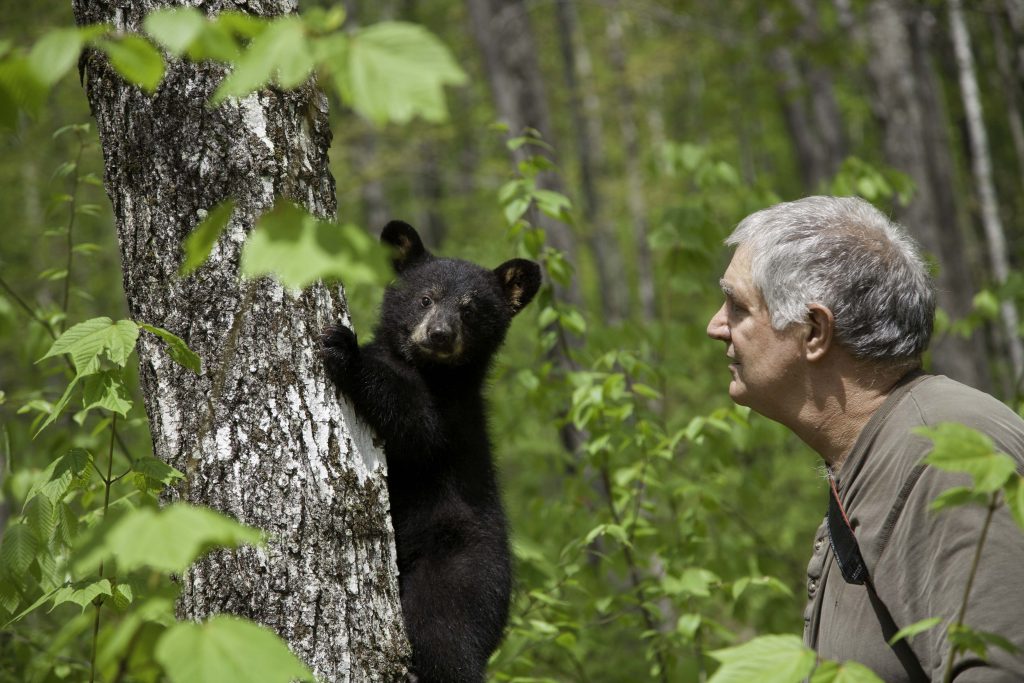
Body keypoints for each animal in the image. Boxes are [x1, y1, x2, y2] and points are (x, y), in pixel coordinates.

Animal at [322, 220, 541, 683]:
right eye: (426, 298)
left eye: (470, 310)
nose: (439, 334)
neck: (429, 371)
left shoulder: (452, 417)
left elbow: (416, 428)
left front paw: (346, 351)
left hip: (456, 578)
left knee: (445, 645)